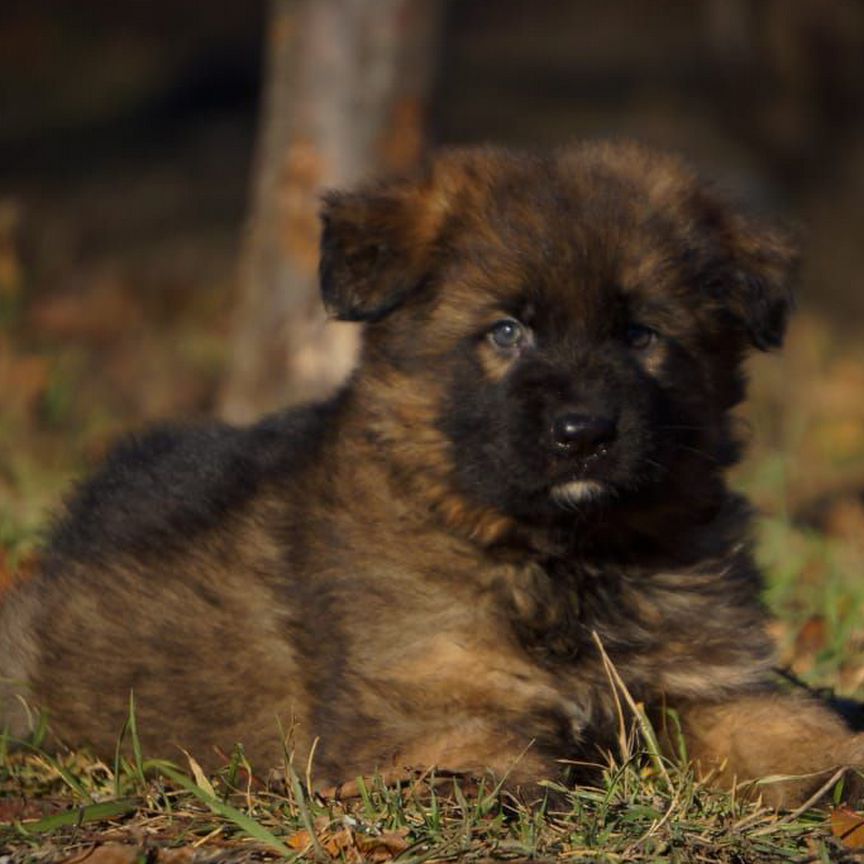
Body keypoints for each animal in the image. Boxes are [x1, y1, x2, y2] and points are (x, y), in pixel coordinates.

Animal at [1, 142, 864, 804]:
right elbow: (512, 773)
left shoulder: (707, 682)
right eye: (506, 332)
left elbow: (790, 730)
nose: (583, 434)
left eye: (641, 334)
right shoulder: (425, 714)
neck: (564, 562)